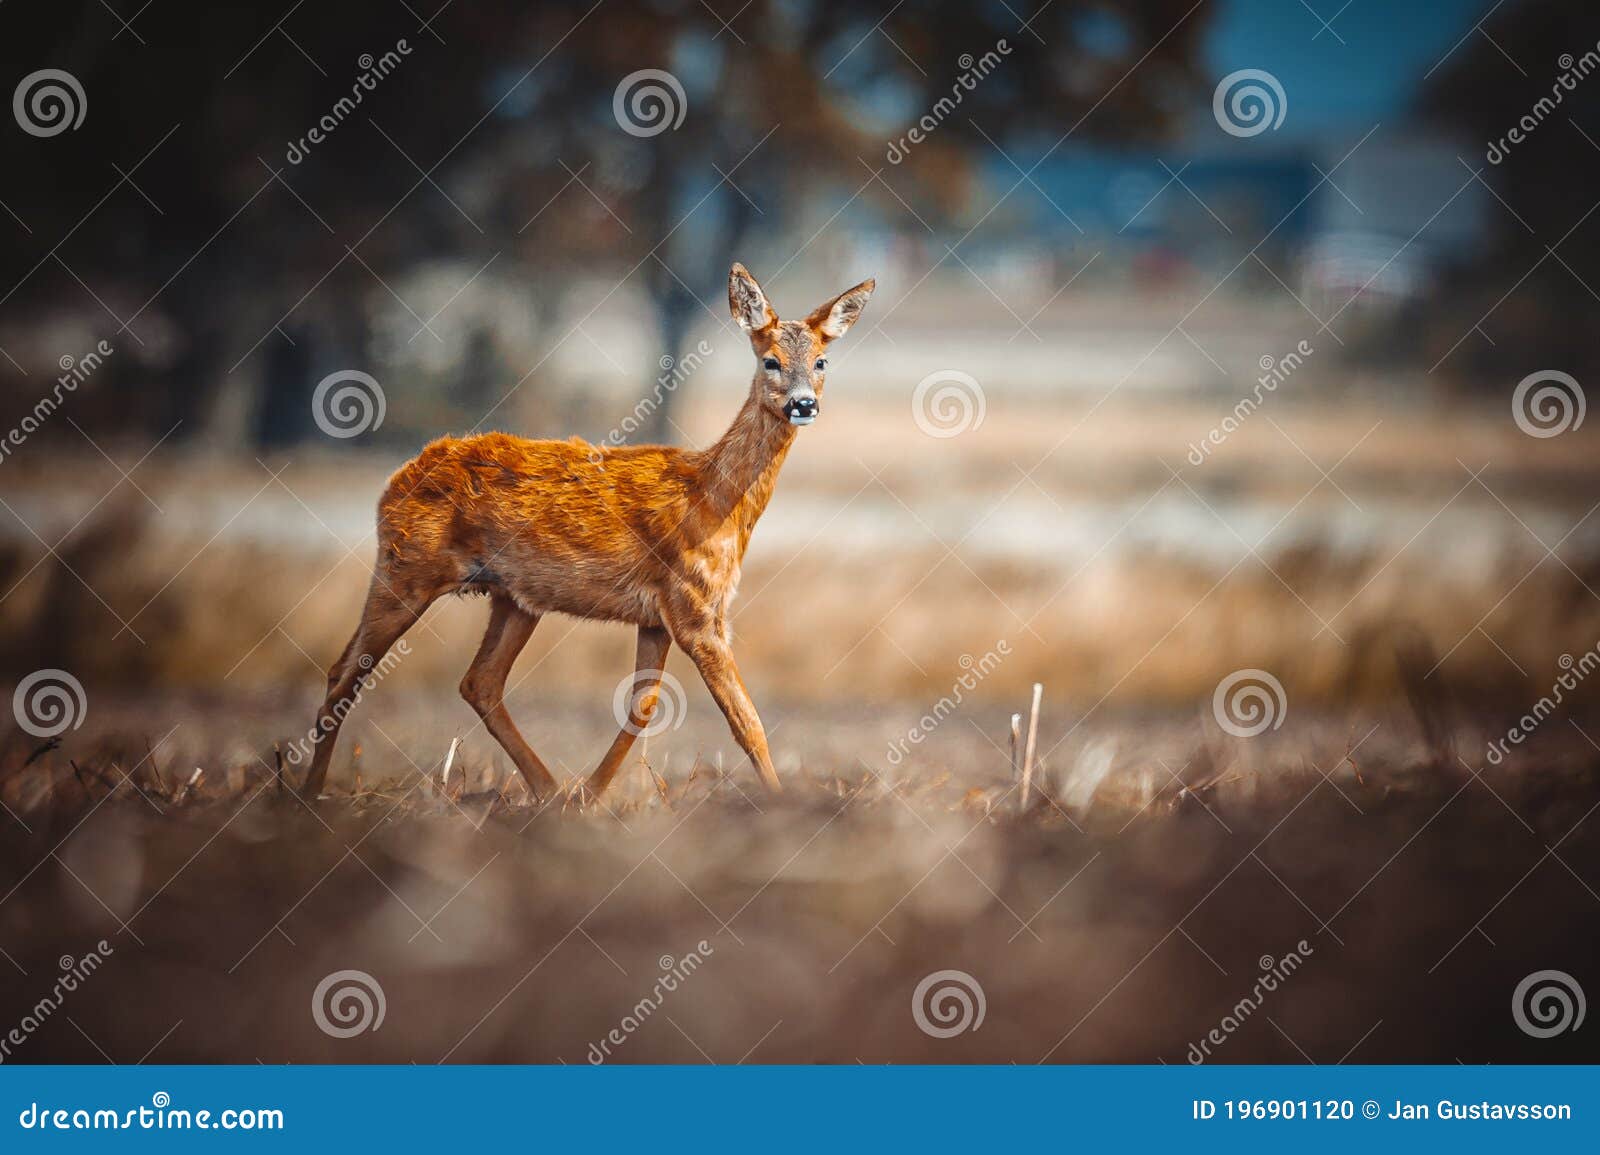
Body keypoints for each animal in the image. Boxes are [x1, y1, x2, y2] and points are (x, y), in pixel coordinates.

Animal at [299, 263, 875, 802]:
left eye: (821, 362)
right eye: (769, 360)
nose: (803, 404)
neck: (714, 501)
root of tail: (396, 479)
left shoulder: (659, 616)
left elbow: (643, 705)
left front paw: (591, 799)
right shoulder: (695, 607)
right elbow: (746, 722)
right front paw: (781, 803)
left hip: (513, 597)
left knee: (478, 682)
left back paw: (549, 793)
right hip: (406, 567)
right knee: (344, 674)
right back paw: (308, 795)